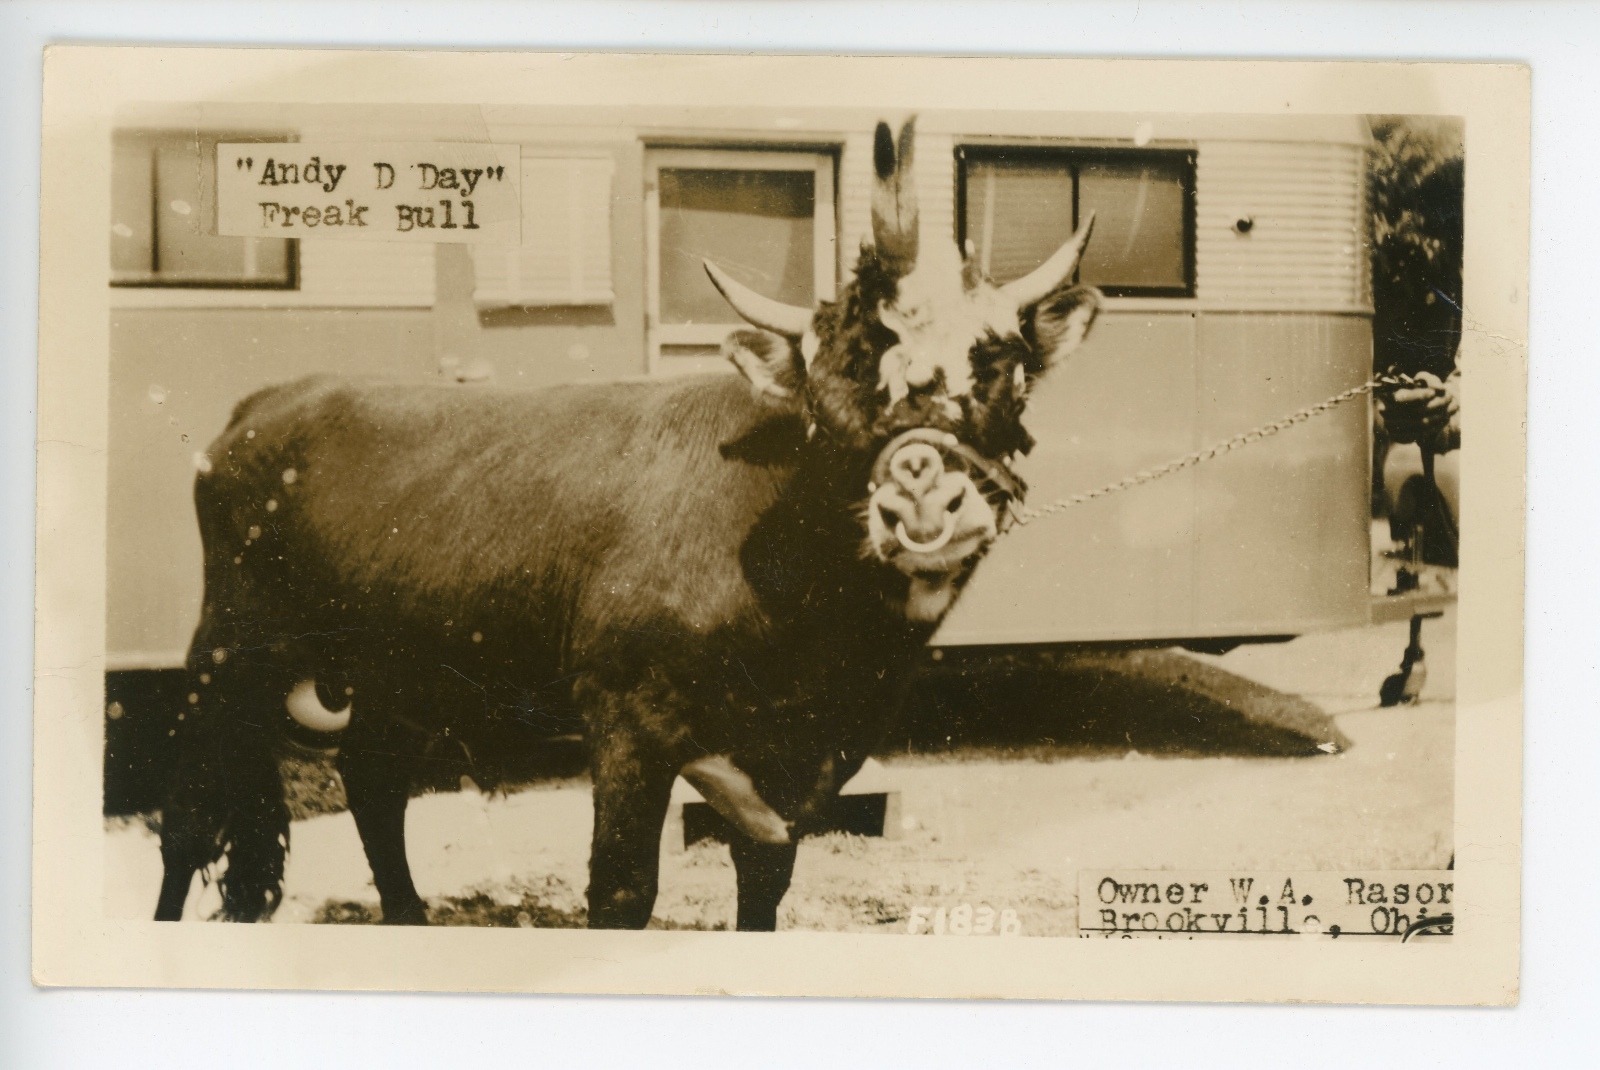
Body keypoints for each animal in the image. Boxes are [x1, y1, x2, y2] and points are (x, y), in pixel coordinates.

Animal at [153, 120, 1103, 930]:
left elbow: (766, 883)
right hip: (228, 645)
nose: (924, 501)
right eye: (831, 395)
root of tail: (272, 399)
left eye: (1005, 371)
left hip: (403, 662)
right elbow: (620, 890)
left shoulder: (797, 762)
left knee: (373, 780)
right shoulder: (627, 713)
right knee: (189, 820)